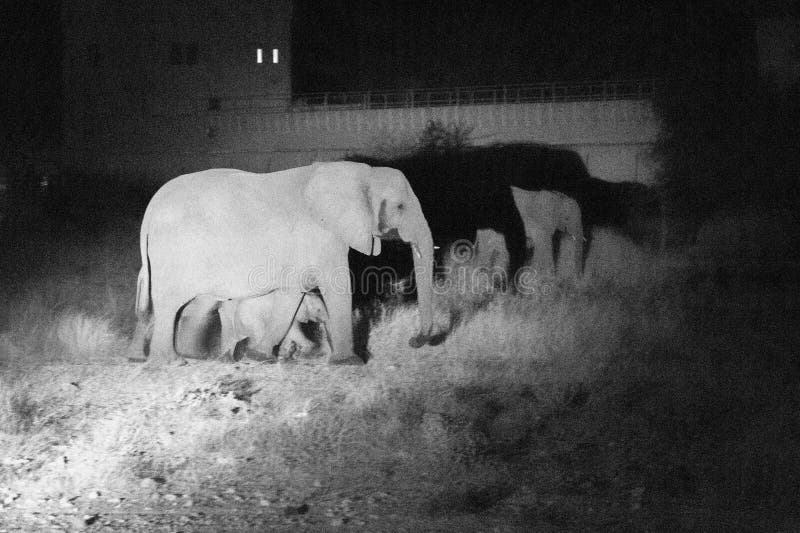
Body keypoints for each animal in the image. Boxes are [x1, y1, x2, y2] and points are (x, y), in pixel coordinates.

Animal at [133, 161, 436, 364]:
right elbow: (336, 285)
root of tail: (150, 208)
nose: (415, 341)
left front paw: (259, 356)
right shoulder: (322, 232)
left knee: (191, 306)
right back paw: (172, 362)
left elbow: (294, 291)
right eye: (400, 207)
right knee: (170, 304)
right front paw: (349, 362)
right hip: (174, 253)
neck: (362, 174)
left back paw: (191, 357)